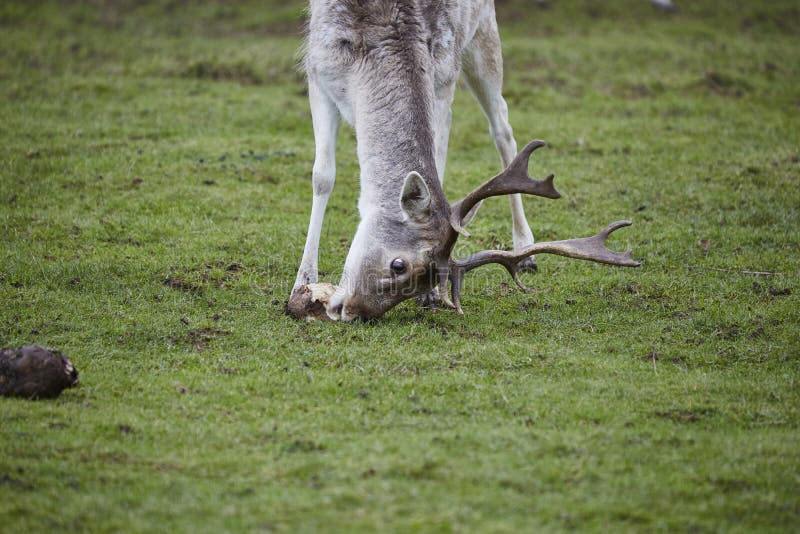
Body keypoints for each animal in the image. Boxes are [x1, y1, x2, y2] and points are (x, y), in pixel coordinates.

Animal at [292, 0, 639, 322]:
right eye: (398, 265)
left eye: (409, 275)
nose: (351, 312)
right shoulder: (318, 71)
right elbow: (323, 176)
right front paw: (301, 284)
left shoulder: (443, 79)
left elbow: (440, 163)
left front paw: (431, 296)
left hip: (484, 33)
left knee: (502, 126)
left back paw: (524, 247)